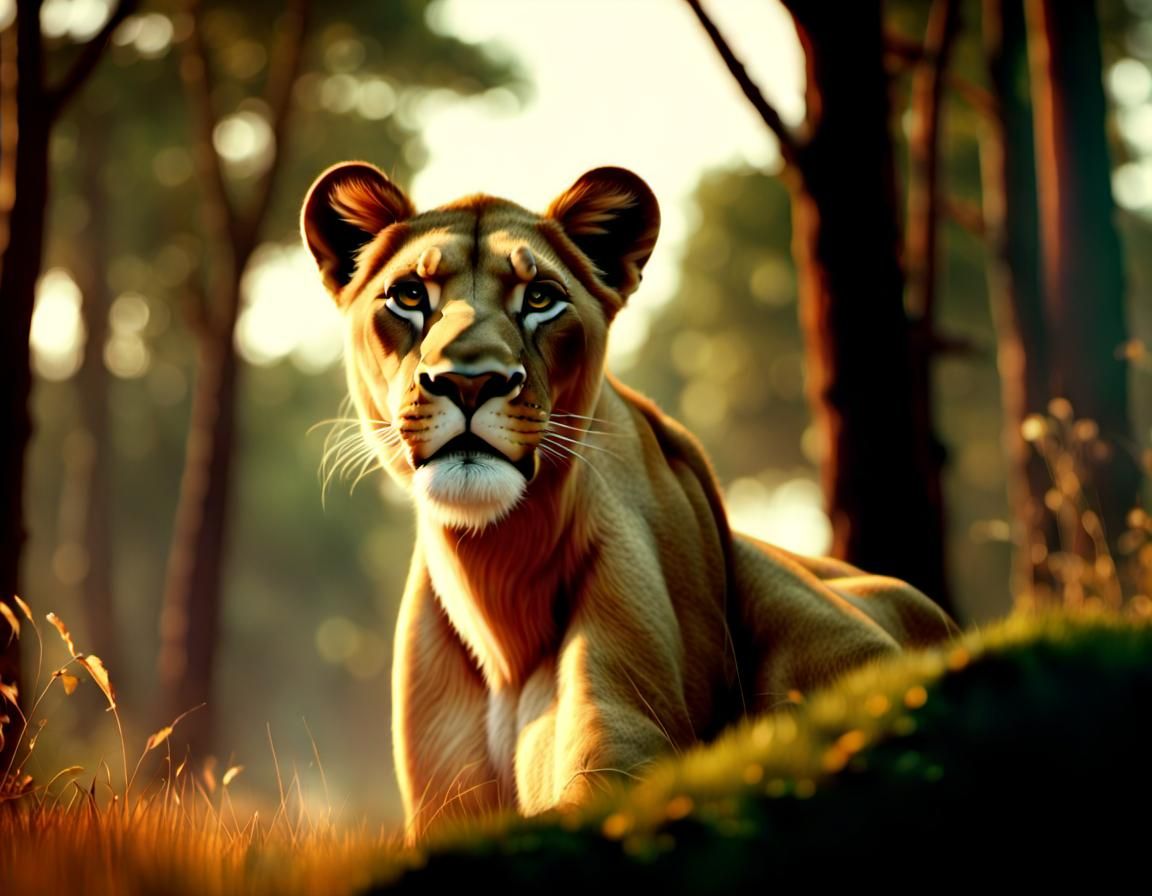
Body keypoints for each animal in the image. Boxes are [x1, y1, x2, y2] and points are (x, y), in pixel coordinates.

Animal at [300, 163, 955, 840]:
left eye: (541, 299)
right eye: (408, 295)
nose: (470, 382)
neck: (497, 586)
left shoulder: (621, 749)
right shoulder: (438, 807)